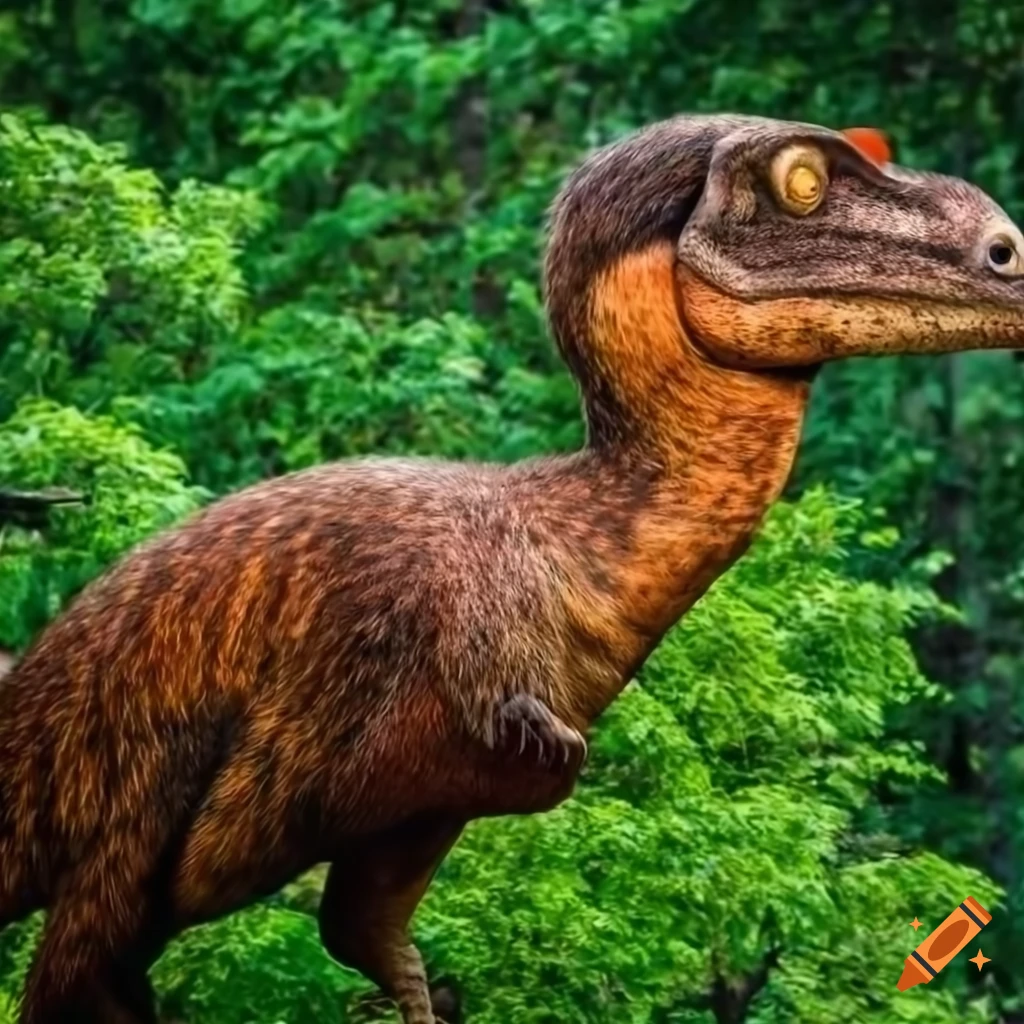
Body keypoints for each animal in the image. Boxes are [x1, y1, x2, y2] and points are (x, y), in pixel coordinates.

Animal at [3, 114, 1024, 1024]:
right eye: (802, 182)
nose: (1008, 253)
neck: (556, 548)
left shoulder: (424, 804)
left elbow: (371, 941)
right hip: (134, 801)